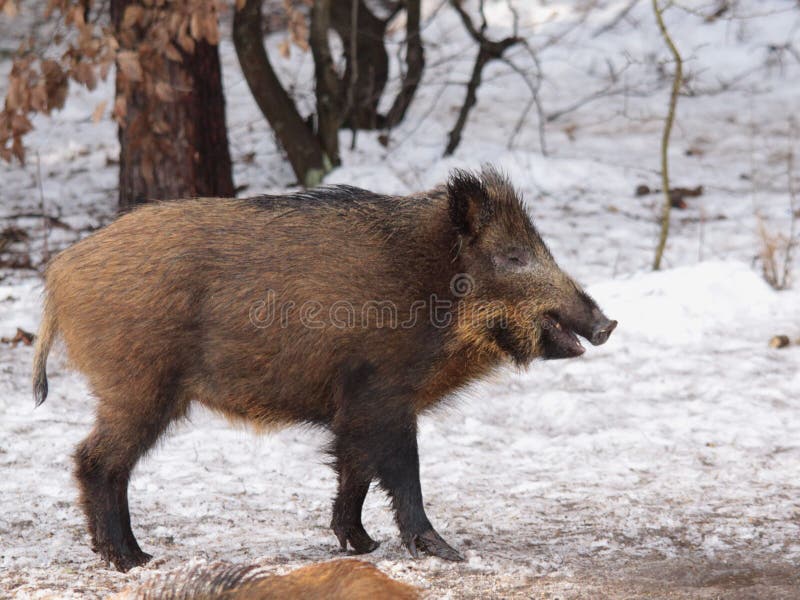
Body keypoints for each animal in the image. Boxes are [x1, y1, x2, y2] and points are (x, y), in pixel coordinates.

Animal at [32, 166, 616, 572]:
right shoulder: (384, 395)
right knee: (95, 461)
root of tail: (59, 274)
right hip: (137, 388)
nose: (607, 323)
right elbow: (401, 472)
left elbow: (353, 471)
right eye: (514, 256)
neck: (431, 290)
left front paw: (360, 546)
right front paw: (444, 552)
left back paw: (135, 556)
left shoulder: (355, 408)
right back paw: (129, 561)